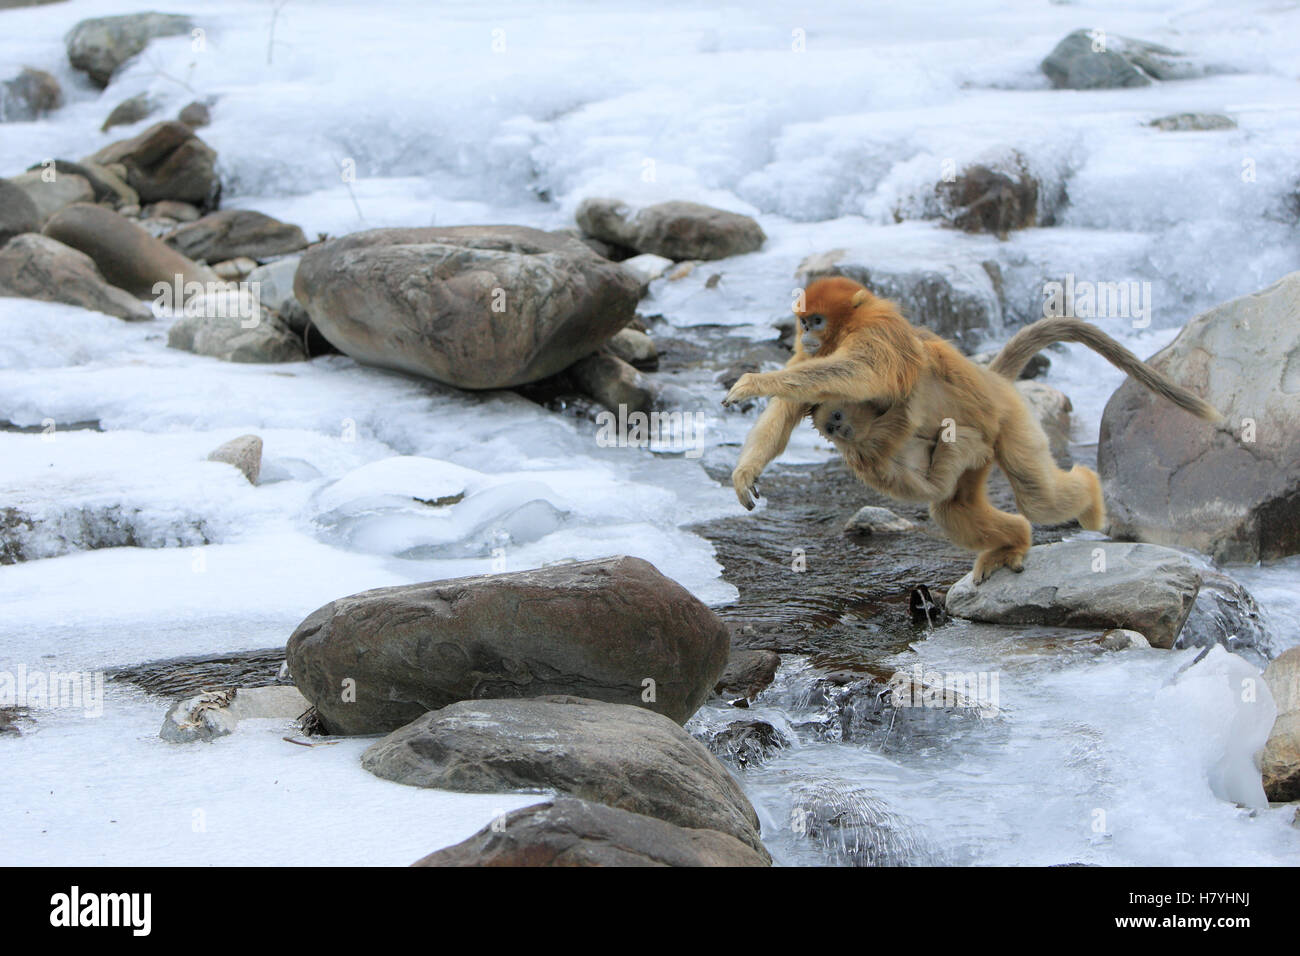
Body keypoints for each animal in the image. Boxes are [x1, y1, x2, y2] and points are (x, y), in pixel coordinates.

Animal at [724, 276, 1222, 583]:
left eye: (817, 320)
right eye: (803, 321)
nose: (806, 335)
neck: (850, 326)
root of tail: (994, 382)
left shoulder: (879, 335)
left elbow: (864, 373)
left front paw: (754, 382)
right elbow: (790, 409)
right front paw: (745, 472)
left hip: (1010, 422)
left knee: (1037, 496)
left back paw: (1091, 497)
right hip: (978, 449)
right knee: (957, 507)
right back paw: (1014, 540)